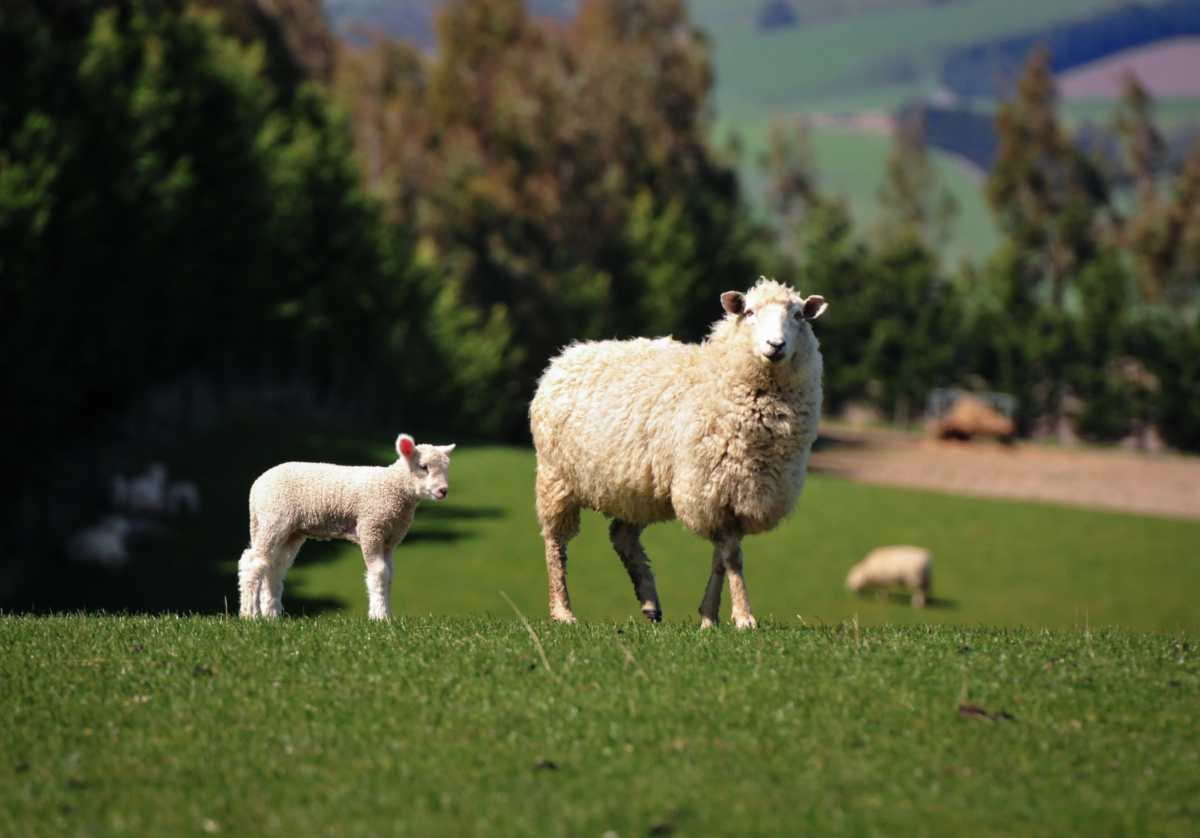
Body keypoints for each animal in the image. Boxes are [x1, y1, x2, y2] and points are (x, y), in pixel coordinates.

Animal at [237, 434, 456, 620]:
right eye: (423, 466)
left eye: (446, 468)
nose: (443, 491)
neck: (393, 487)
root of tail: (257, 485)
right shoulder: (370, 529)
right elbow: (379, 572)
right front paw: (380, 616)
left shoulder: (389, 539)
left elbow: (390, 575)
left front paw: (388, 614)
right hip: (273, 518)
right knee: (253, 563)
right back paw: (251, 614)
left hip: (291, 530)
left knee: (275, 566)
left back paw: (272, 615)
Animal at [530, 277, 827, 629]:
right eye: (750, 312)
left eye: (798, 315)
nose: (775, 345)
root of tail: (566, 355)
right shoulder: (713, 489)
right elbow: (733, 558)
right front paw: (743, 617)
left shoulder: (736, 493)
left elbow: (720, 559)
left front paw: (709, 616)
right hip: (556, 477)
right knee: (555, 543)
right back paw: (563, 611)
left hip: (638, 488)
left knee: (621, 536)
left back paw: (649, 603)